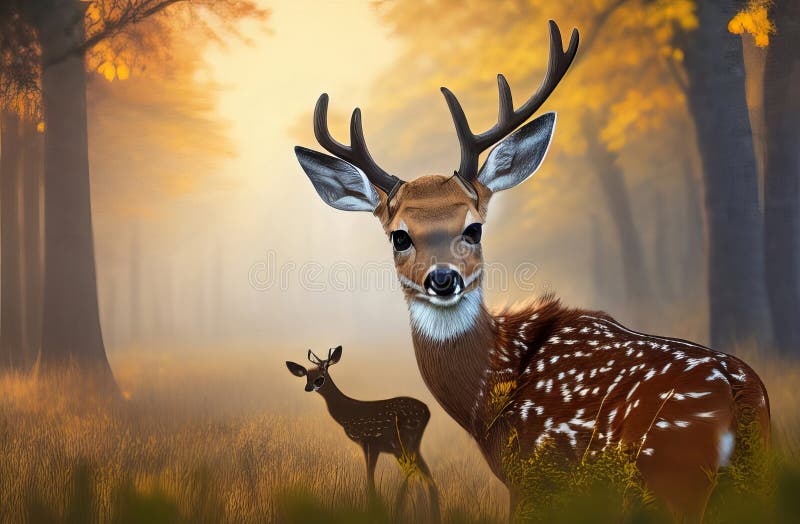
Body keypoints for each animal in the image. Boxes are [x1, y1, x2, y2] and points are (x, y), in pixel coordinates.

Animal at [285, 345, 440, 521]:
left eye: (320, 378)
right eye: (307, 376)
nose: (308, 387)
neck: (349, 412)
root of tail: (428, 412)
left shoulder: (370, 441)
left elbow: (370, 479)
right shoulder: (367, 445)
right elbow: (370, 478)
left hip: (405, 440)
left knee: (415, 472)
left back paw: (401, 510)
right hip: (409, 444)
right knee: (426, 477)